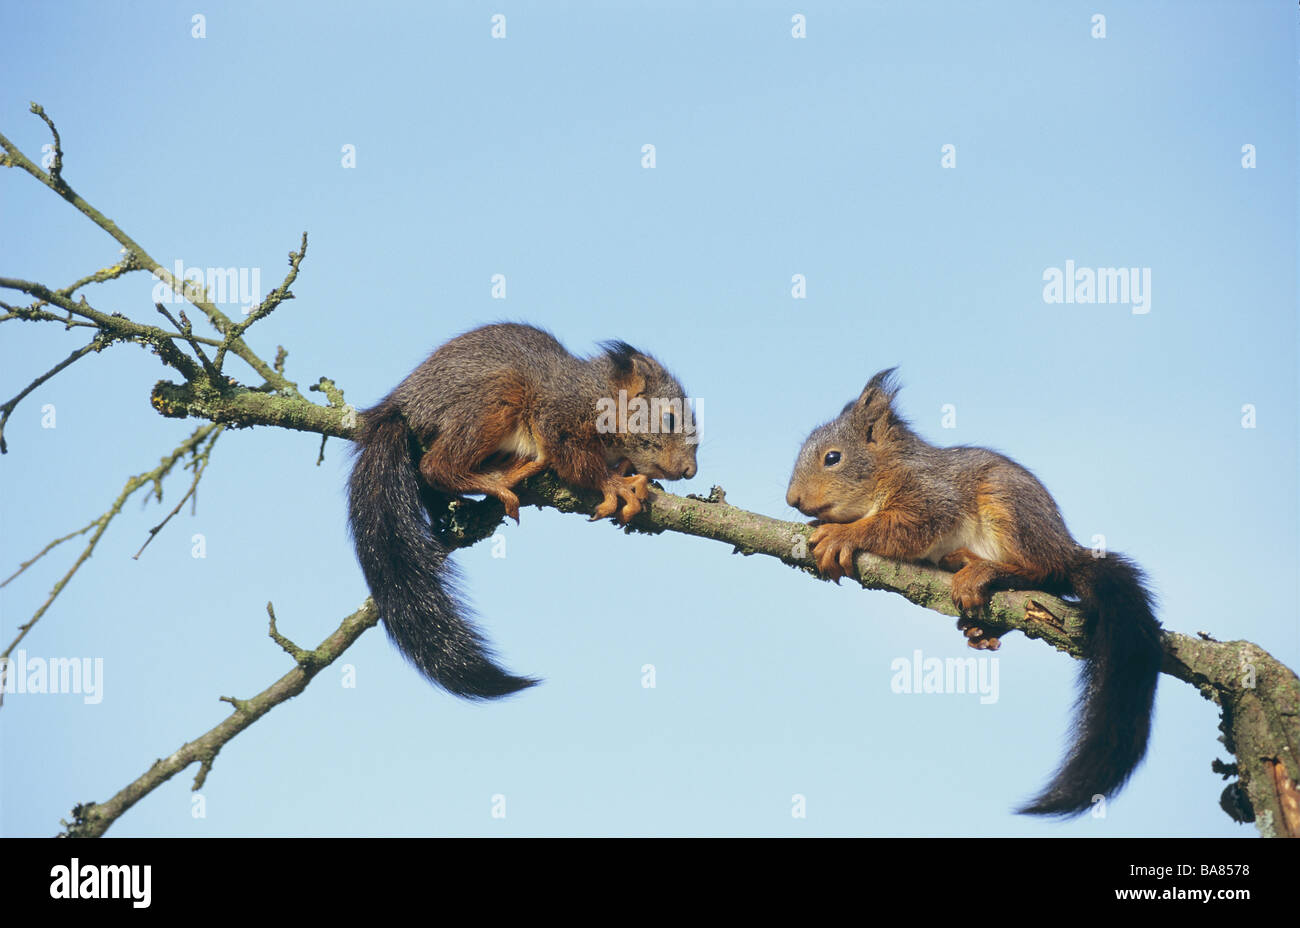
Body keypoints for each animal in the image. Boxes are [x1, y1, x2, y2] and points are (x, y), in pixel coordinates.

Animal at [348, 322, 698, 700]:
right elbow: (573, 457)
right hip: (493, 399)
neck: (597, 392)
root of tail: (402, 406)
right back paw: (500, 478)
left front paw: (626, 470)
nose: (690, 471)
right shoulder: (559, 413)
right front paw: (615, 483)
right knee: (435, 467)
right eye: (669, 419)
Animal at [785, 368, 1164, 817]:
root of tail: (1065, 548)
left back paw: (981, 569)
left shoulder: (929, 496)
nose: (792, 499)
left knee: (1043, 571)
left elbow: (903, 526)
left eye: (833, 458)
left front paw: (841, 535)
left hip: (1006, 507)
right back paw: (979, 614)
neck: (889, 469)